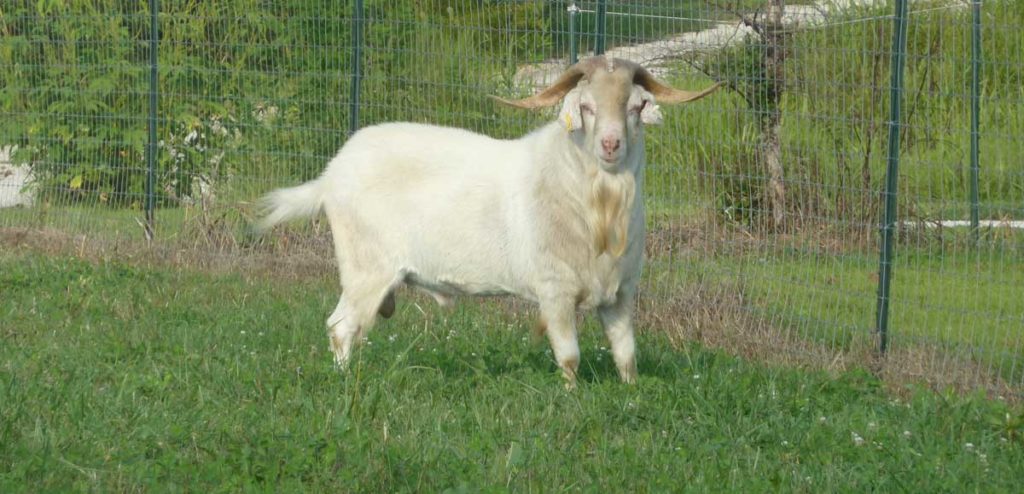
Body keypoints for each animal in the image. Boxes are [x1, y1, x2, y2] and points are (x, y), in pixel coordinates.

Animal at [257, 56, 720, 387]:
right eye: (586, 107)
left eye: (636, 106)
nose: (611, 144)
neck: (595, 203)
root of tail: (331, 174)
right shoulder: (555, 289)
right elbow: (569, 357)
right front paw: (571, 398)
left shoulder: (621, 292)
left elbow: (626, 356)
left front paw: (630, 394)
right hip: (365, 269)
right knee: (341, 327)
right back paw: (345, 380)